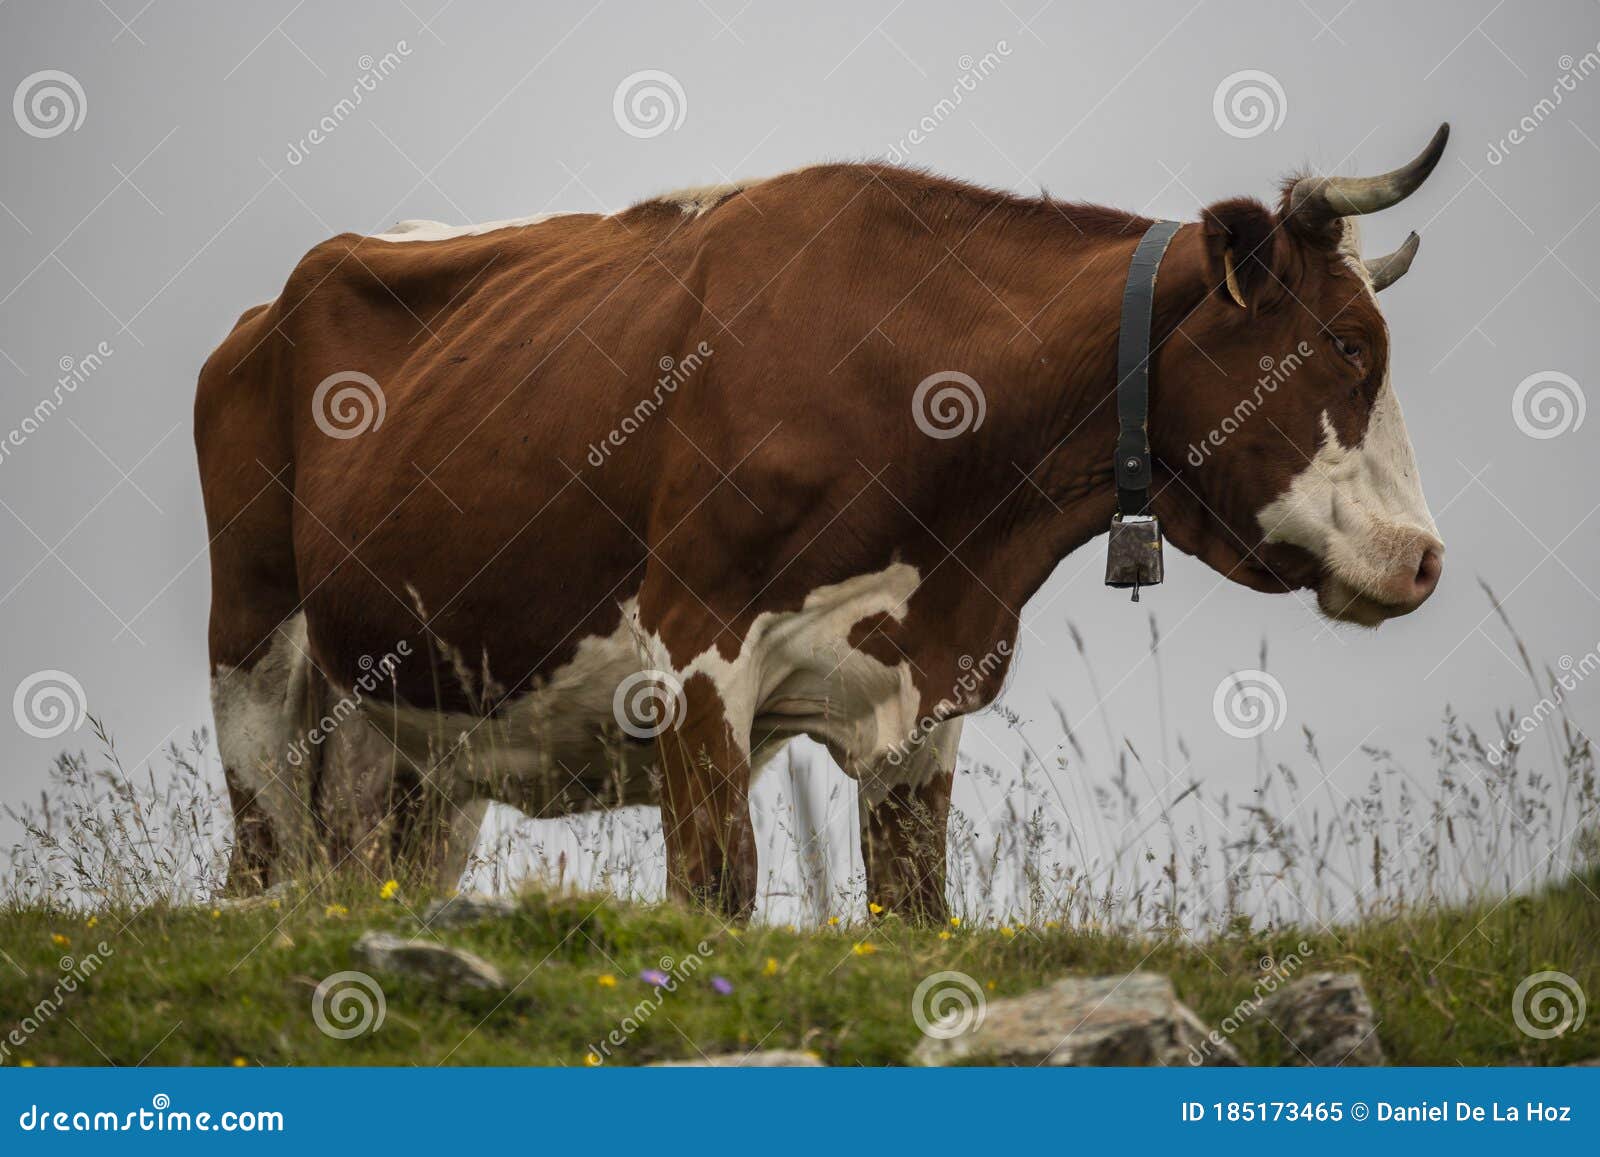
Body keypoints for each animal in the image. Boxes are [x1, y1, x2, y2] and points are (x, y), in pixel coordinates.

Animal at [196, 125, 1449, 921]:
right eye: (1347, 345)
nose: (1425, 559)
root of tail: (270, 307)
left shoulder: (927, 679)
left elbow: (914, 904)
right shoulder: (695, 645)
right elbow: (716, 888)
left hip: (410, 740)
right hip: (254, 649)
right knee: (259, 866)